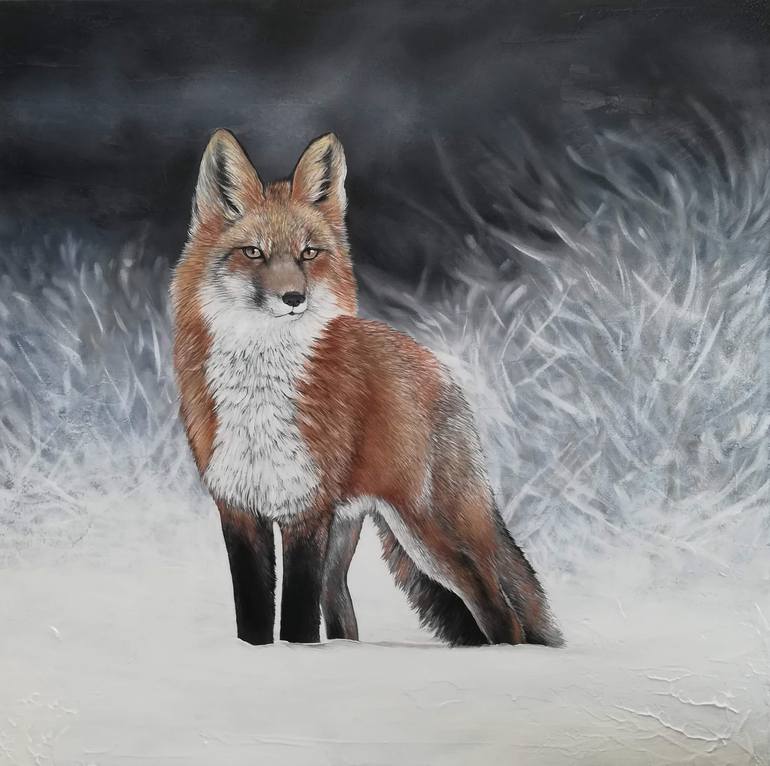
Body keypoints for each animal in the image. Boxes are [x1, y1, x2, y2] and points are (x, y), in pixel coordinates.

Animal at [170, 128, 563, 647]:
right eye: (253, 252)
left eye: (309, 253)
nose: (293, 298)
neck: (260, 399)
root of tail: (439, 368)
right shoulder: (239, 508)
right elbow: (253, 617)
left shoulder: (307, 511)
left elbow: (296, 621)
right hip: (350, 535)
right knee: (344, 614)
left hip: (425, 531)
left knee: (497, 605)